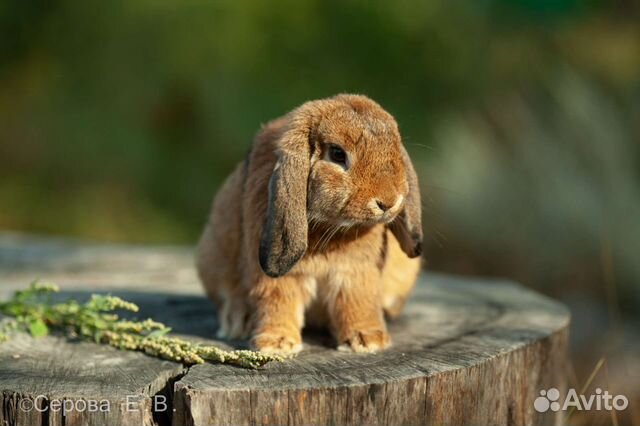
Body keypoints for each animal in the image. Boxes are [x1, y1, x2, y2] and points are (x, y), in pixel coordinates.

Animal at [198, 95, 422, 354]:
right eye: (337, 154)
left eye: (395, 148)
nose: (389, 201)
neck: (331, 229)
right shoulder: (277, 277)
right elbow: (277, 302)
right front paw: (276, 344)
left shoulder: (356, 272)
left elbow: (358, 302)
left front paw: (368, 340)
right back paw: (238, 323)